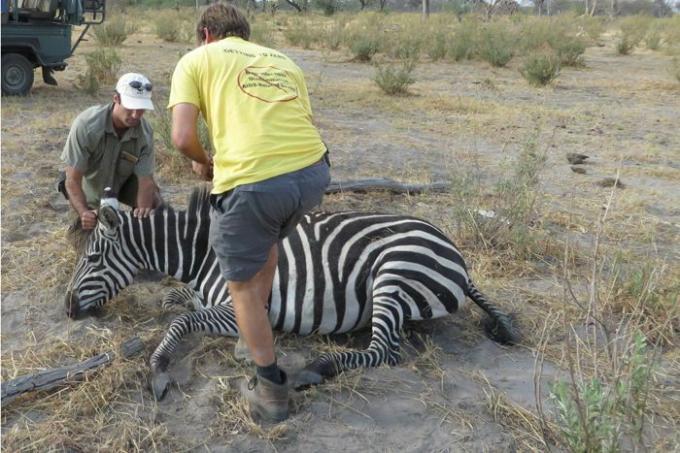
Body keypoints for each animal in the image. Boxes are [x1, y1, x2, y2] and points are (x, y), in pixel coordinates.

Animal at [66, 187, 516, 400]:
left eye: (91, 258)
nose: (67, 307)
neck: (206, 255)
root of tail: (453, 248)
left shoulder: (241, 309)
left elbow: (180, 321)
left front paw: (158, 367)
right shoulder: (210, 299)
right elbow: (175, 302)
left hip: (392, 274)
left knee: (384, 352)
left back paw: (314, 369)